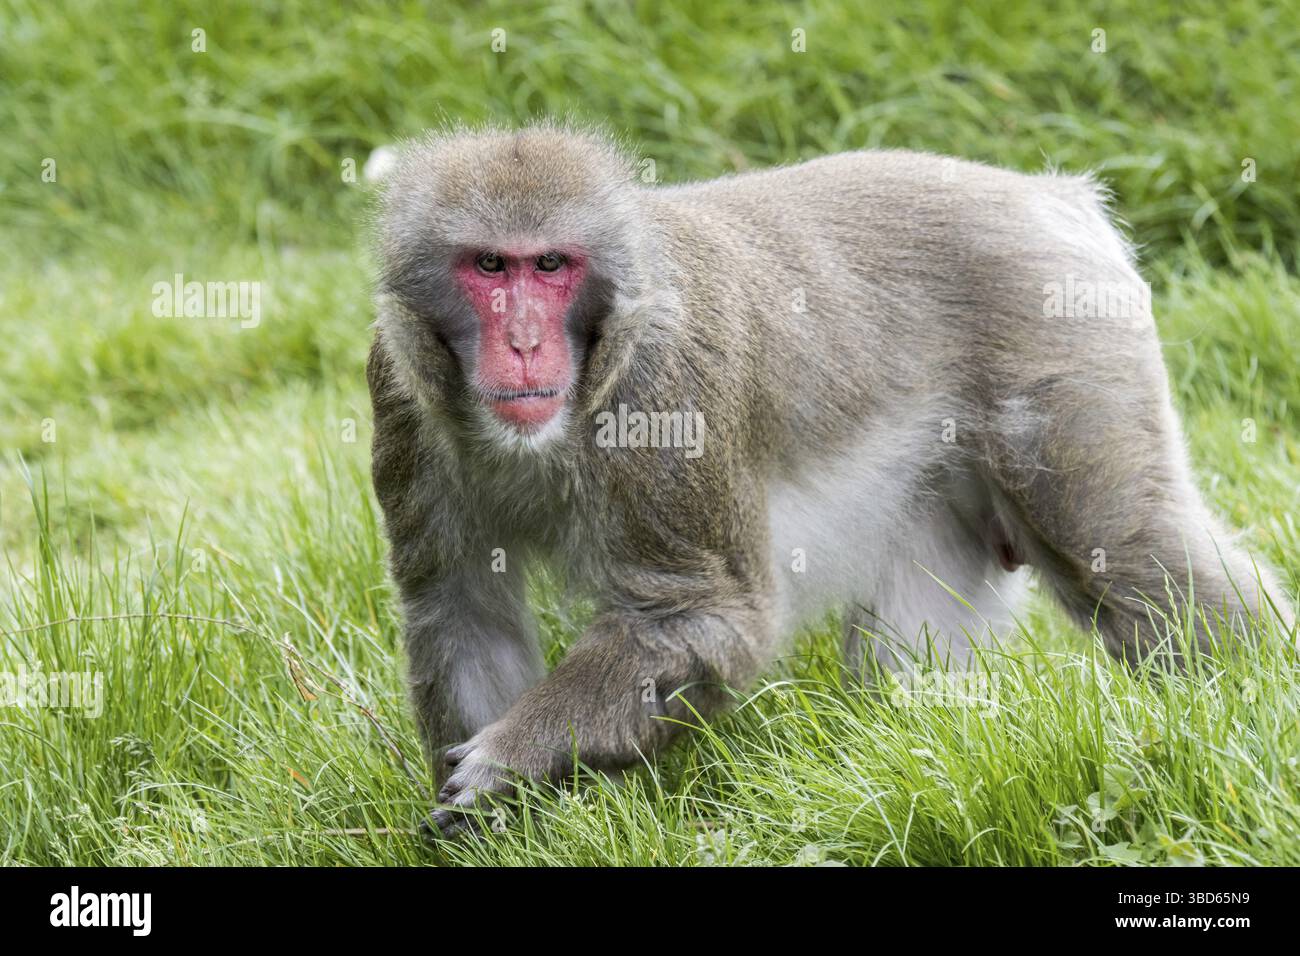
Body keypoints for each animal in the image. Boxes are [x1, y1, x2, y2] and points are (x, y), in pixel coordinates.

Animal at [368, 122, 1294, 836]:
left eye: (551, 266)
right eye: (491, 267)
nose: (525, 343)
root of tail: (1048, 194)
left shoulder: (669, 395)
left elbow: (705, 619)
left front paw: (507, 762)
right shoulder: (401, 393)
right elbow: (461, 607)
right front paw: (486, 827)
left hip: (1063, 346)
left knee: (1123, 546)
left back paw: (1256, 700)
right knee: (912, 654)